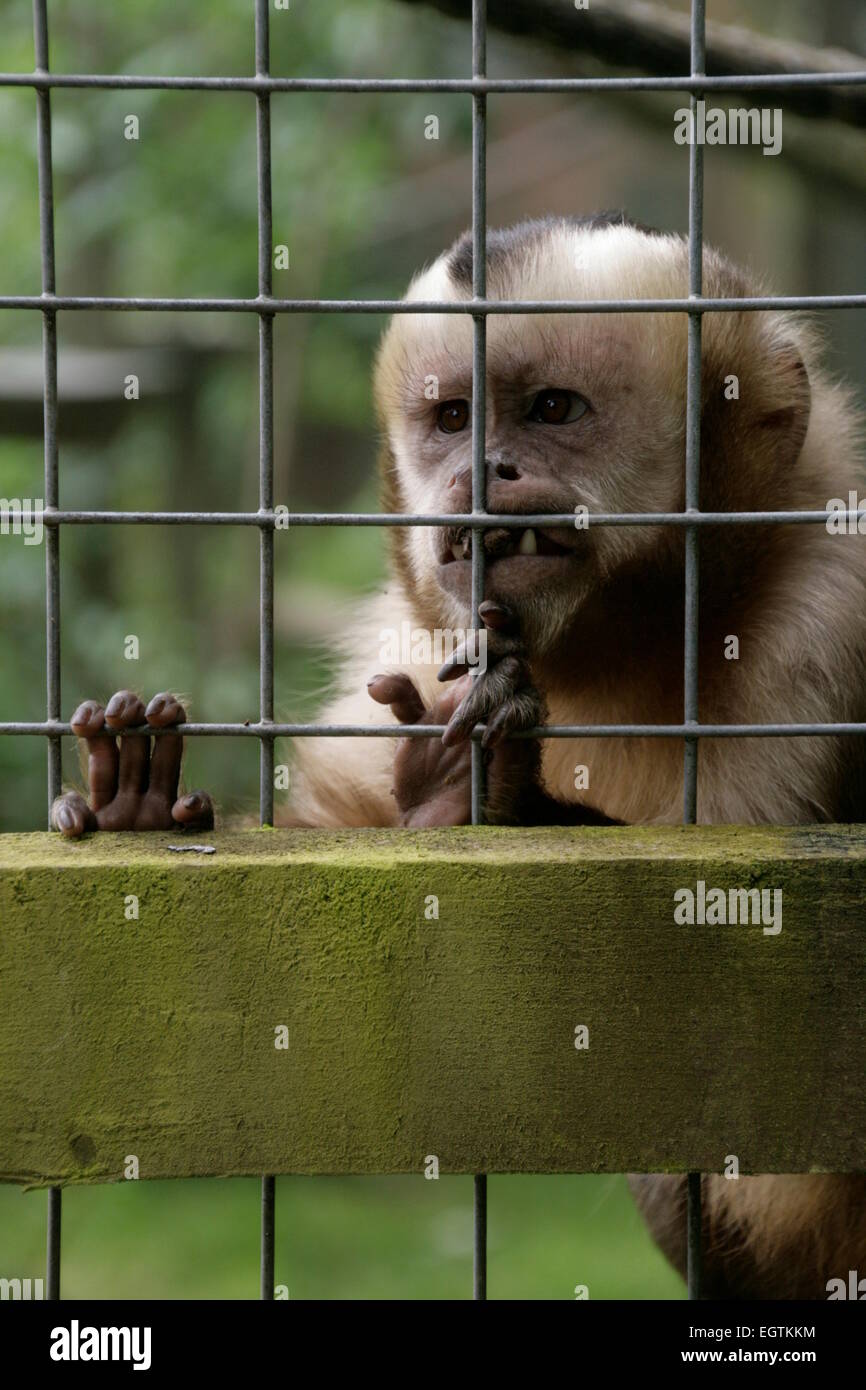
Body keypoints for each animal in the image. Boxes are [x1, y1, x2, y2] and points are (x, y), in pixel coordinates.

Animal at [51, 213, 866, 1299]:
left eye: (552, 409)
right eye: (451, 418)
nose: (478, 471)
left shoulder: (824, 619)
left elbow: (753, 998)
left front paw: (486, 795)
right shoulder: (408, 645)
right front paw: (139, 801)